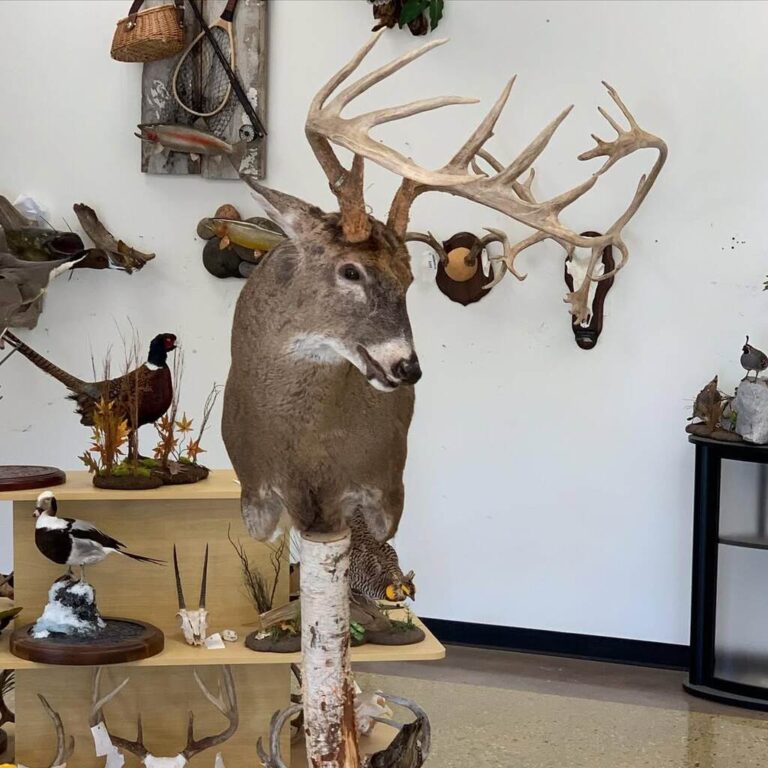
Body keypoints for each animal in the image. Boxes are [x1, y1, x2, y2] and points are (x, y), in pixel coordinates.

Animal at [222, 31, 666, 768]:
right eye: (350, 270)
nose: (408, 367)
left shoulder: (376, 488)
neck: (306, 443)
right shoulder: (265, 489)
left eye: (411, 277)